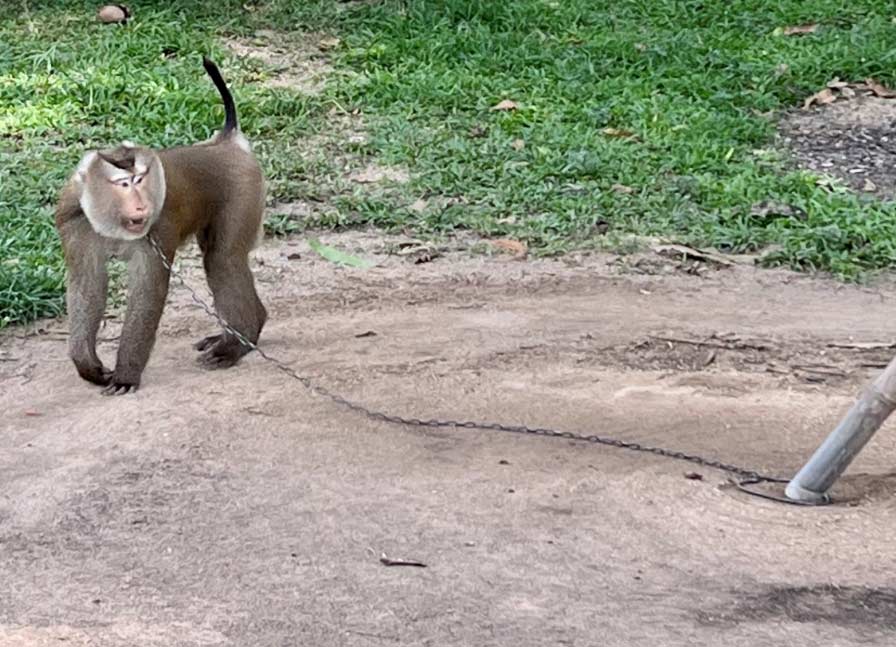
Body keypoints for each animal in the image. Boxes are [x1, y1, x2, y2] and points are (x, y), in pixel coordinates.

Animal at [54, 58, 266, 395]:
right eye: (123, 183)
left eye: (140, 179)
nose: (142, 205)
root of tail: (223, 142)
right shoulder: (73, 219)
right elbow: (88, 283)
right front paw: (87, 365)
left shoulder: (156, 229)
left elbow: (148, 289)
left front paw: (126, 375)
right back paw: (242, 332)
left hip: (243, 189)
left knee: (222, 258)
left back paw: (240, 341)